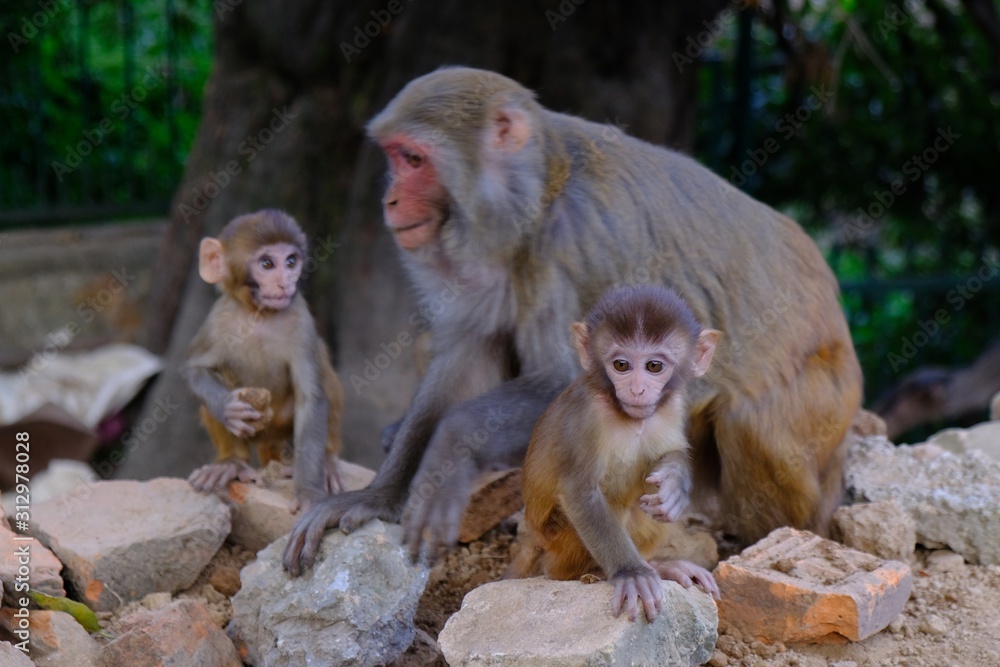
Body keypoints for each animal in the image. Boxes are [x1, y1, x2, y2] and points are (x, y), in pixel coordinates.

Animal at [184, 209, 344, 511]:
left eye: (291, 261)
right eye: (267, 263)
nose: (286, 282)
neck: (259, 315)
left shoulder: (301, 320)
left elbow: (312, 398)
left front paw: (308, 492)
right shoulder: (218, 318)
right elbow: (195, 369)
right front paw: (227, 409)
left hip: (279, 429)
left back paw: (326, 461)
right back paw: (231, 463)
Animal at [282, 67, 862, 575]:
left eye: (413, 158)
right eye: (395, 158)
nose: (391, 199)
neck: (537, 203)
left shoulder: (575, 242)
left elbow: (572, 379)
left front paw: (451, 448)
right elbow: (465, 363)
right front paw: (379, 495)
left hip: (826, 409)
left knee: (746, 420)